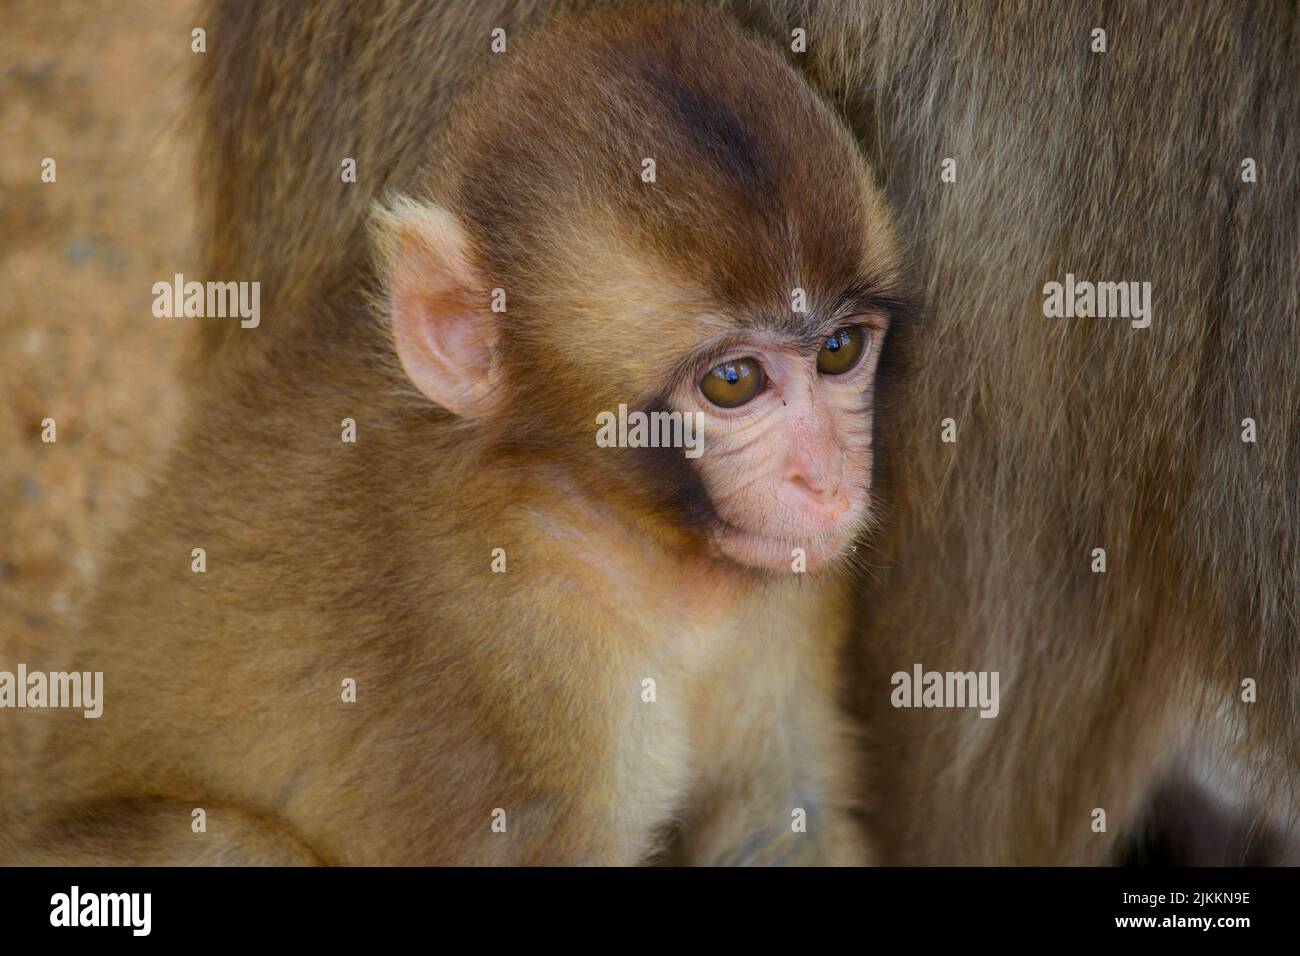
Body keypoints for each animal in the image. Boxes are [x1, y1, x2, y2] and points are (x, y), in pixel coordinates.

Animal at [1, 4, 907, 865]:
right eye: (734, 381)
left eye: (839, 350)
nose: (828, 477)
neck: (633, 536)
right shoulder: (516, 648)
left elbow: (779, 820)